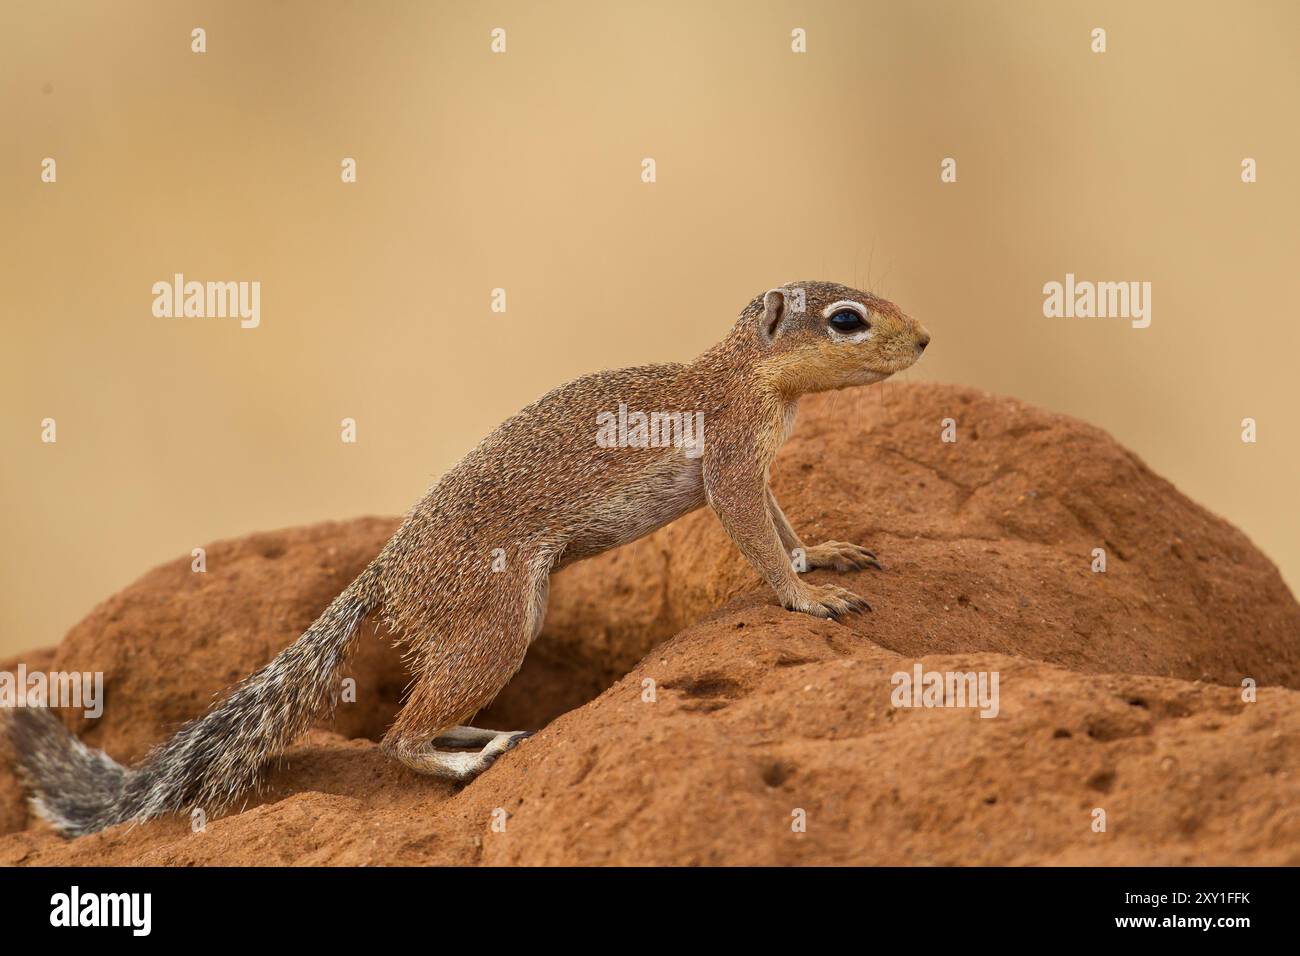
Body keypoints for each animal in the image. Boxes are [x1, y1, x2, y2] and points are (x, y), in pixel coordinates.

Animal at [8, 280, 930, 837]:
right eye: (846, 319)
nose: (925, 338)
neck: (745, 374)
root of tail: (385, 571)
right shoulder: (733, 461)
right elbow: (755, 534)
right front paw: (804, 600)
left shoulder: (754, 468)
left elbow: (782, 525)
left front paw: (824, 558)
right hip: (494, 624)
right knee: (395, 738)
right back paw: (468, 759)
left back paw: (493, 734)